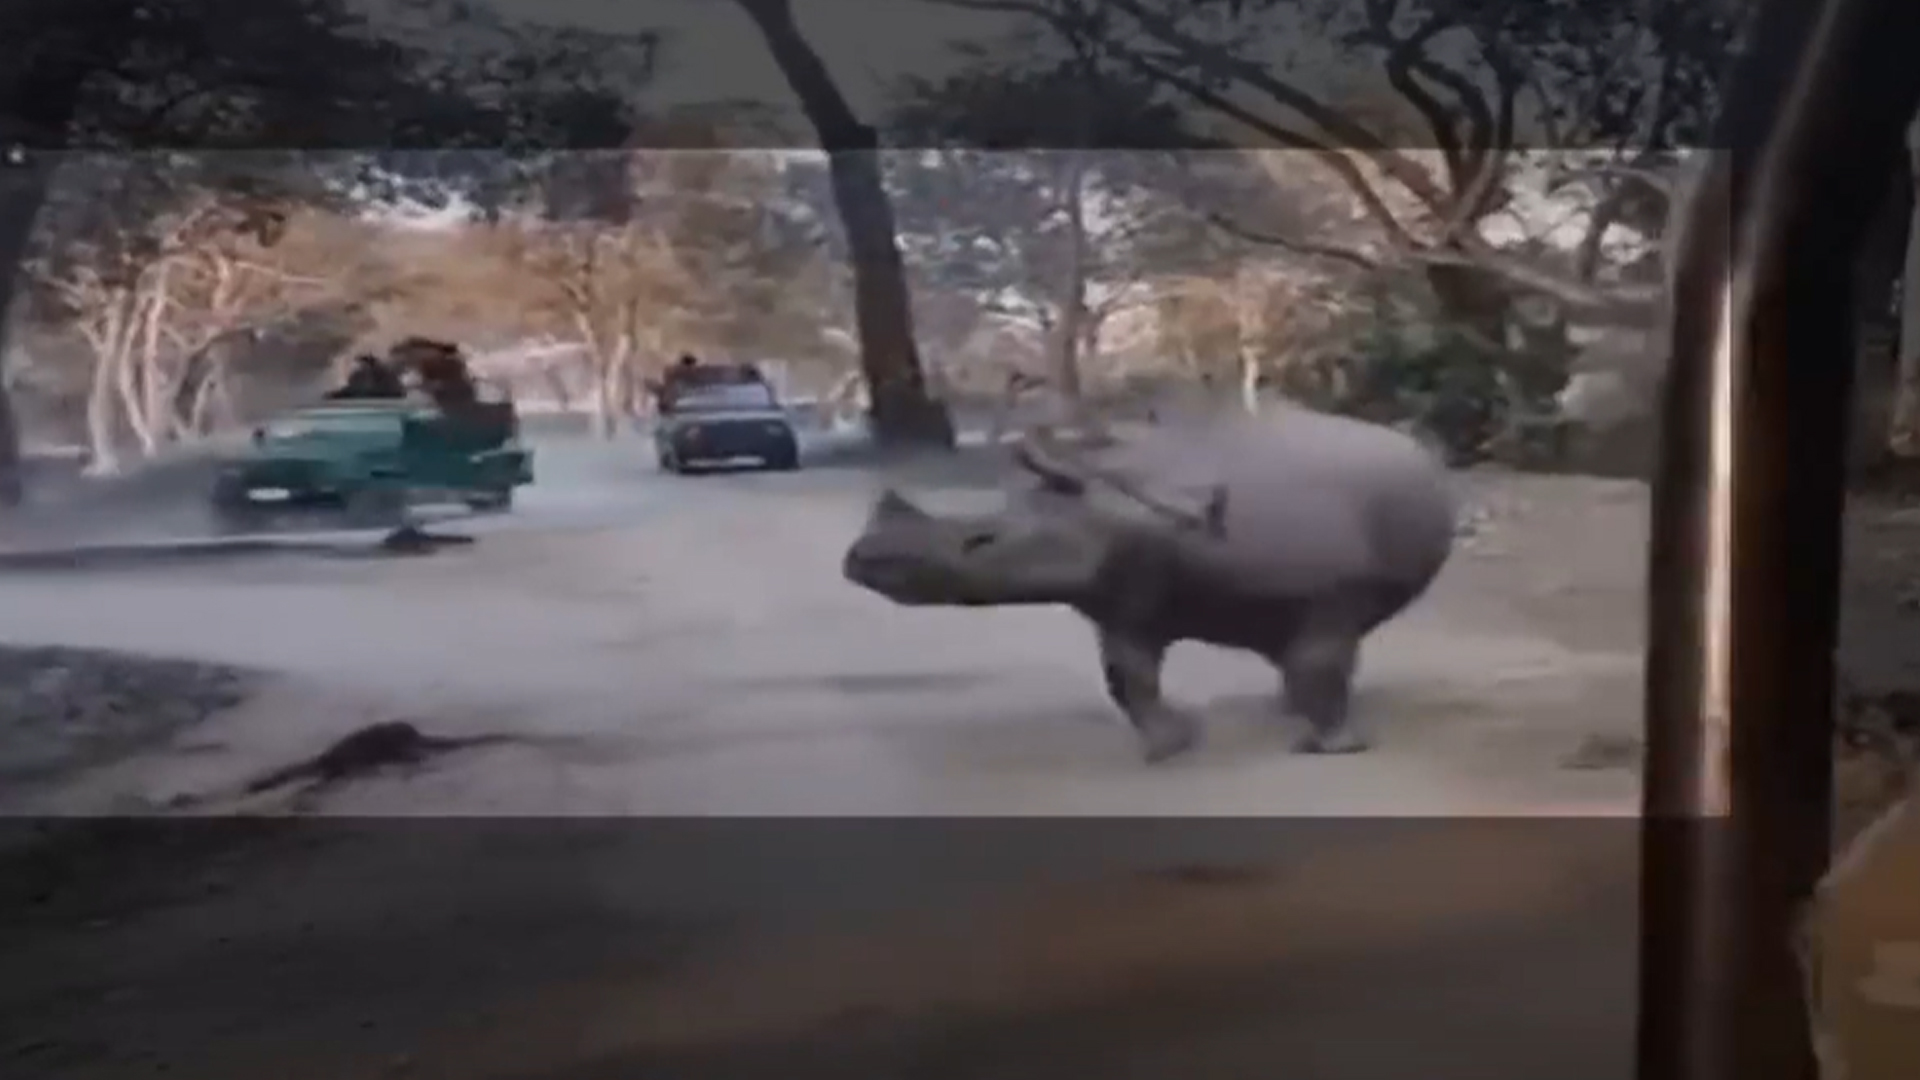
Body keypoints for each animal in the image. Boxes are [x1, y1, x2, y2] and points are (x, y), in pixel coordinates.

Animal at [840, 405, 1458, 762]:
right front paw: (1171, 747)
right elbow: (1127, 677)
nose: (861, 558)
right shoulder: (1121, 601)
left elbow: (1317, 660)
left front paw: (1337, 750)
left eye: (983, 539)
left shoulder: (1327, 591)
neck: (1105, 499)